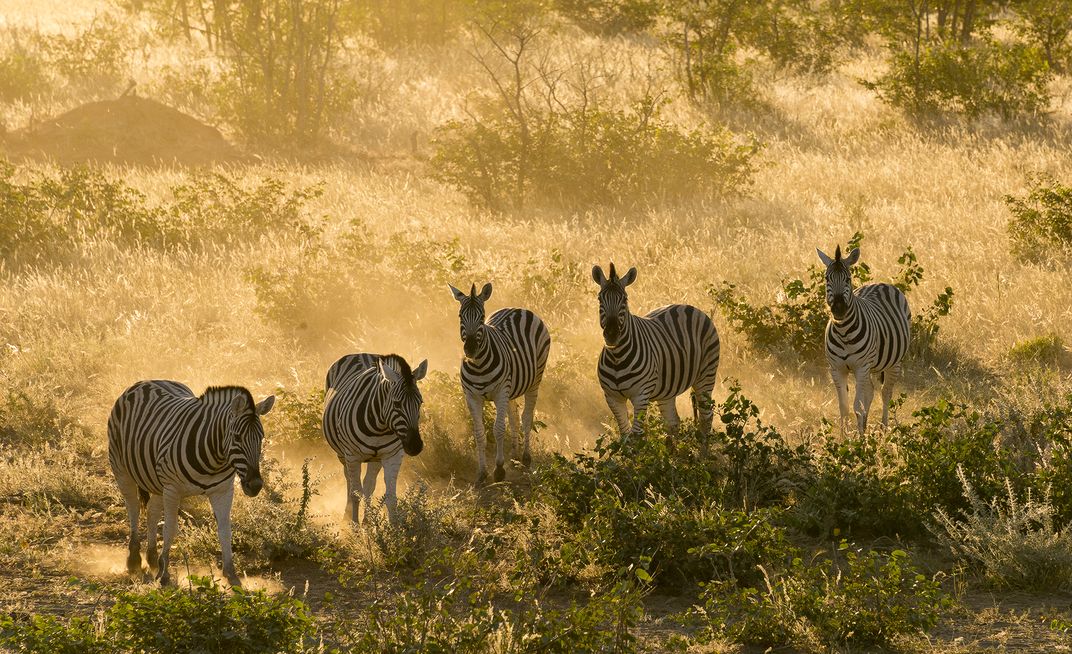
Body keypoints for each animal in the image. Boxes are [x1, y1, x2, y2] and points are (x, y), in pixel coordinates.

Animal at [108, 381, 275, 587]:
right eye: (237, 437)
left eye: (261, 438)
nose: (256, 485)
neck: (215, 458)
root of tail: (146, 382)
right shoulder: (172, 489)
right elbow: (170, 529)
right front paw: (164, 574)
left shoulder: (223, 491)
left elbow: (225, 530)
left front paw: (231, 574)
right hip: (121, 469)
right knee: (133, 508)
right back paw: (134, 561)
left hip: (156, 482)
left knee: (152, 511)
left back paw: (153, 559)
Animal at [322, 353, 428, 523]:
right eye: (397, 404)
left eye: (420, 402)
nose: (415, 446)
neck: (380, 427)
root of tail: (360, 354)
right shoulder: (352, 456)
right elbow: (355, 493)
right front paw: (354, 526)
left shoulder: (393, 456)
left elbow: (390, 496)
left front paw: (395, 527)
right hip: (343, 455)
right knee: (349, 482)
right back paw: (348, 516)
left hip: (375, 459)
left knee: (369, 485)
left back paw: (367, 520)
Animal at [448, 282, 551, 485]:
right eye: (460, 316)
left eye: (481, 317)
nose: (470, 349)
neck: (479, 365)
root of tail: (517, 308)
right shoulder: (471, 396)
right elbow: (479, 433)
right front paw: (482, 473)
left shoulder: (500, 392)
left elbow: (498, 429)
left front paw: (499, 470)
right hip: (511, 389)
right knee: (514, 418)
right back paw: (514, 457)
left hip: (534, 380)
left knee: (526, 418)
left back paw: (525, 458)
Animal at [592, 263, 720, 436]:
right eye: (600, 299)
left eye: (625, 300)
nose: (612, 335)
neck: (617, 357)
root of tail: (690, 307)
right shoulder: (612, 398)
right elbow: (625, 435)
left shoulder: (641, 395)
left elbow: (636, 436)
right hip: (667, 391)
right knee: (673, 423)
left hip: (706, 375)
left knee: (706, 418)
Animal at [818, 245, 911, 433]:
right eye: (826, 278)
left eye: (848, 279)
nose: (839, 309)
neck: (843, 332)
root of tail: (881, 283)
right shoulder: (836, 369)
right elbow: (844, 407)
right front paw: (845, 437)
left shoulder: (861, 367)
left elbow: (857, 407)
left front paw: (860, 439)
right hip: (872, 366)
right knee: (871, 392)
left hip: (893, 362)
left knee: (885, 393)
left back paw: (883, 429)